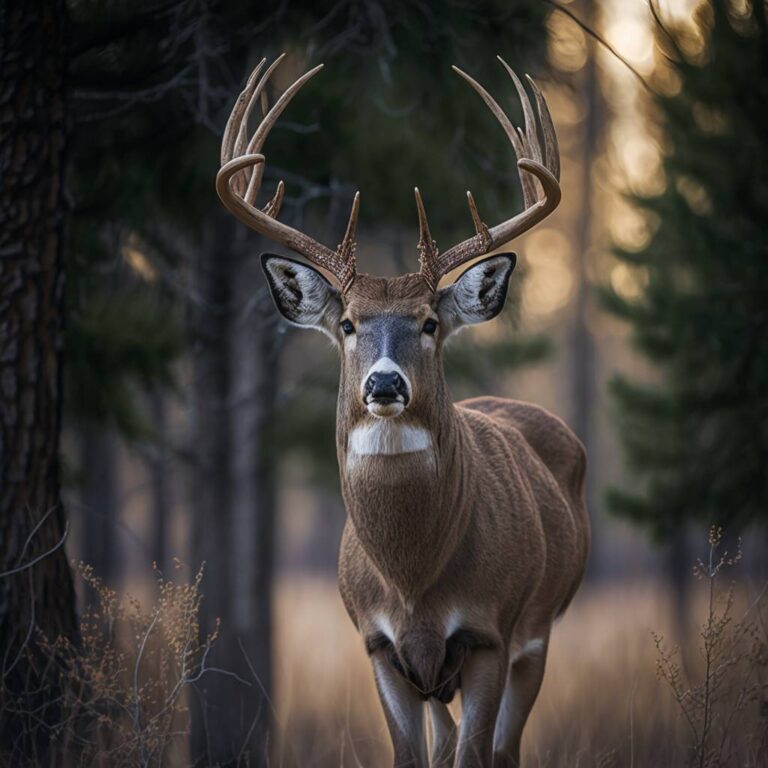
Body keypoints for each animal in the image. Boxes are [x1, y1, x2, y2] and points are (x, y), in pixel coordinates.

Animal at [216, 54, 589, 768]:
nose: (385, 383)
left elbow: (476, 754)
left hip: (539, 633)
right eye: (349, 324)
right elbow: (413, 755)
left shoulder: (489, 634)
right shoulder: (378, 646)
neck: (414, 579)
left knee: (506, 748)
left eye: (429, 322)